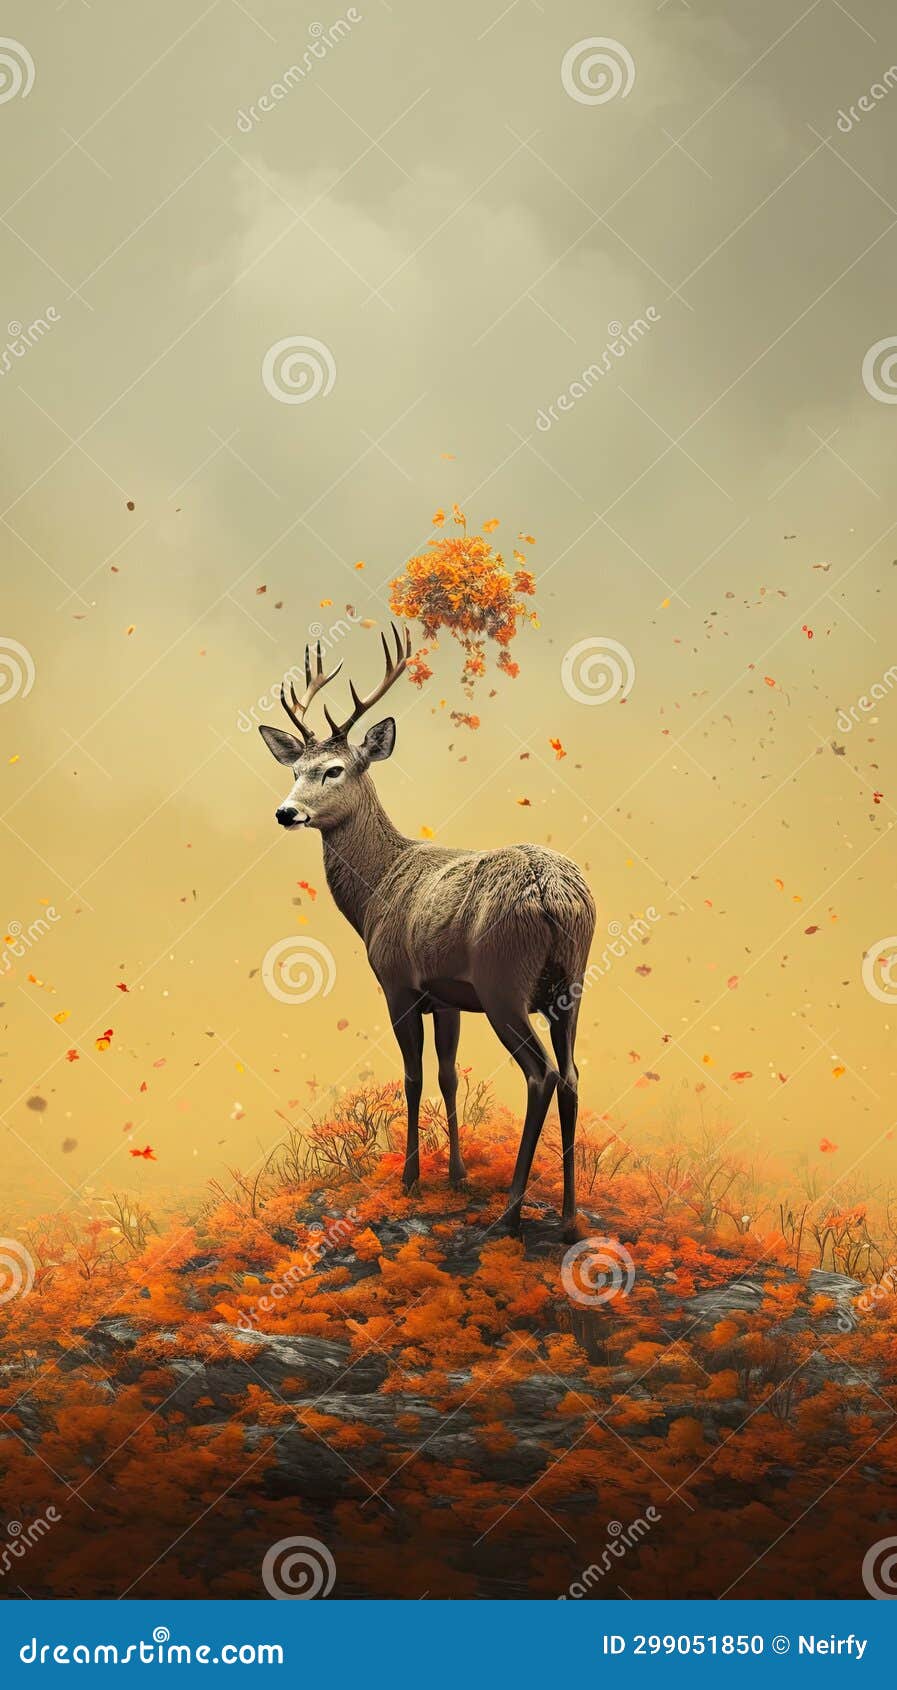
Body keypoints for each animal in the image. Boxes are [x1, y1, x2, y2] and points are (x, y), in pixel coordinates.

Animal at [259, 626, 596, 1238]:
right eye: (295, 770)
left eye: (335, 769)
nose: (286, 812)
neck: (375, 891)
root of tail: (552, 895)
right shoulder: (448, 996)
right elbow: (448, 1074)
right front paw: (457, 1175)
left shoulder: (398, 982)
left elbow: (414, 1077)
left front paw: (412, 1178)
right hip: (572, 983)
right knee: (573, 1075)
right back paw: (567, 1215)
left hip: (504, 980)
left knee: (541, 1076)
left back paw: (511, 1215)